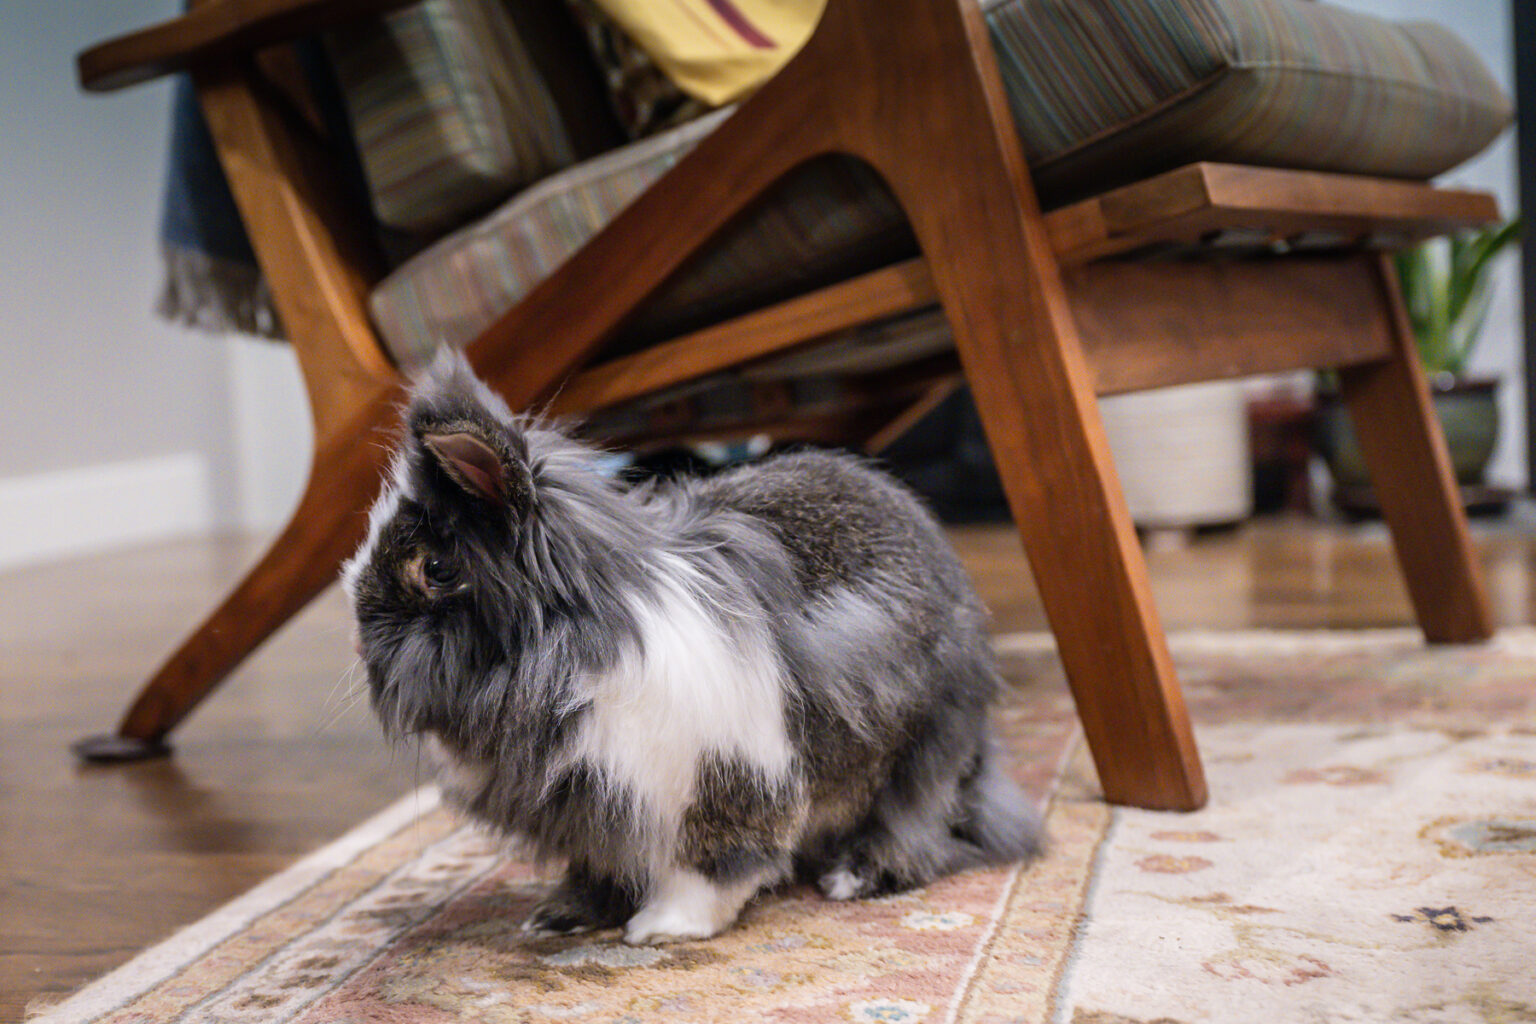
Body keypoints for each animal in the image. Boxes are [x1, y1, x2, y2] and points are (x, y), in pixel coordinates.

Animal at [342, 351, 1042, 945]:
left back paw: (854, 876)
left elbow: (712, 869)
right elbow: (601, 866)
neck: (561, 655)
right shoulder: (592, 809)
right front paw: (559, 917)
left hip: (921, 754)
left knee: (922, 825)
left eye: (435, 568)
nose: (360, 633)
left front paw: (661, 929)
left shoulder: (721, 780)